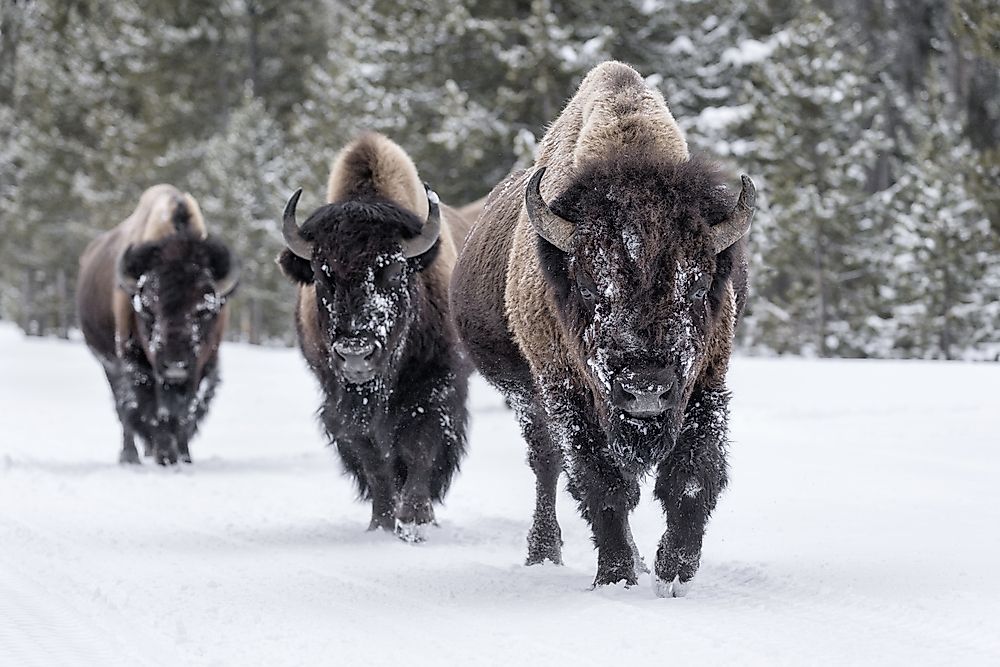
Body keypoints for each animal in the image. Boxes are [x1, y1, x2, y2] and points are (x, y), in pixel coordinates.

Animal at [77, 185, 239, 465]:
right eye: (147, 309)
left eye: (205, 311)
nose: (175, 365)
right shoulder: (136, 363)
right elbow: (152, 409)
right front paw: (164, 454)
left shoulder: (202, 366)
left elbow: (186, 412)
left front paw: (182, 456)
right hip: (108, 363)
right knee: (123, 408)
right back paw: (130, 456)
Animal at [278, 133, 471, 542]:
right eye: (322, 272)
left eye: (394, 268)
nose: (355, 353)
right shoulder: (339, 400)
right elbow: (373, 457)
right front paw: (381, 521)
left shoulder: (437, 387)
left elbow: (419, 447)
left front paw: (415, 520)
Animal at [451, 62, 755, 595]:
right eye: (591, 286)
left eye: (698, 286)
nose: (646, 387)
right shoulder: (568, 393)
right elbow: (601, 483)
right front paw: (615, 576)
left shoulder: (705, 384)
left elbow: (692, 477)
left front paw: (673, 572)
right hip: (524, 394)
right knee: (546, 463)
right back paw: (544, 552)